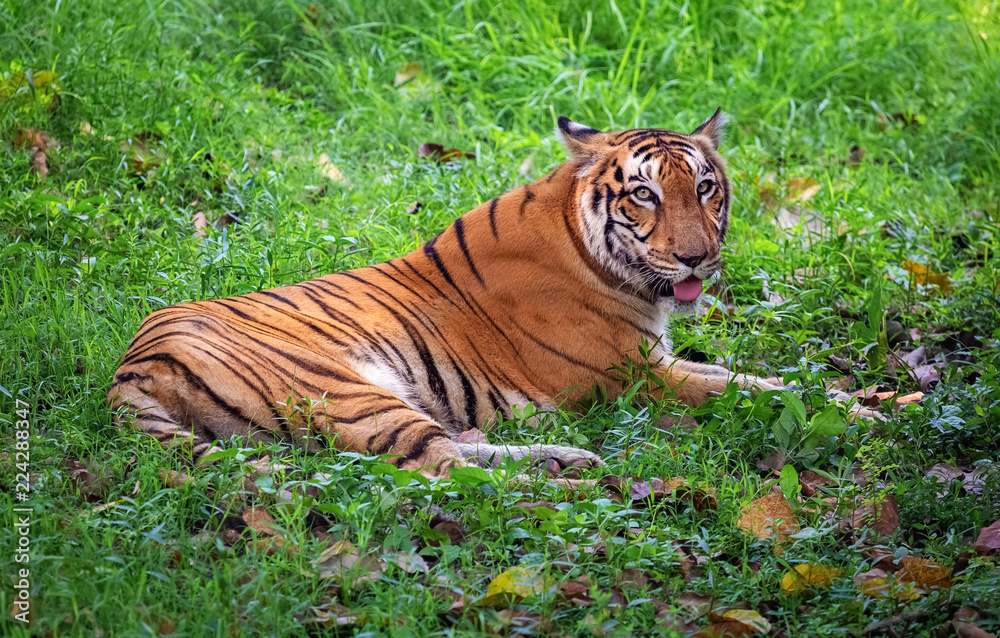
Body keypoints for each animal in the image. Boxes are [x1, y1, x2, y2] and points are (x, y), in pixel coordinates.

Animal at [108, 110, 869, 480]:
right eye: (646, 194)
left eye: (706, 187)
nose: (697, 258)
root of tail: (130, 365)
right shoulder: (638, 377)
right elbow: (756, 392)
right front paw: (866, 416)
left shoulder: (658, 360)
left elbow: (764, 378)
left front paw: (863, 396)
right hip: (345, 391)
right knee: (438, 472)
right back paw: (564, 482)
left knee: (445, 452)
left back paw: (567, 460)